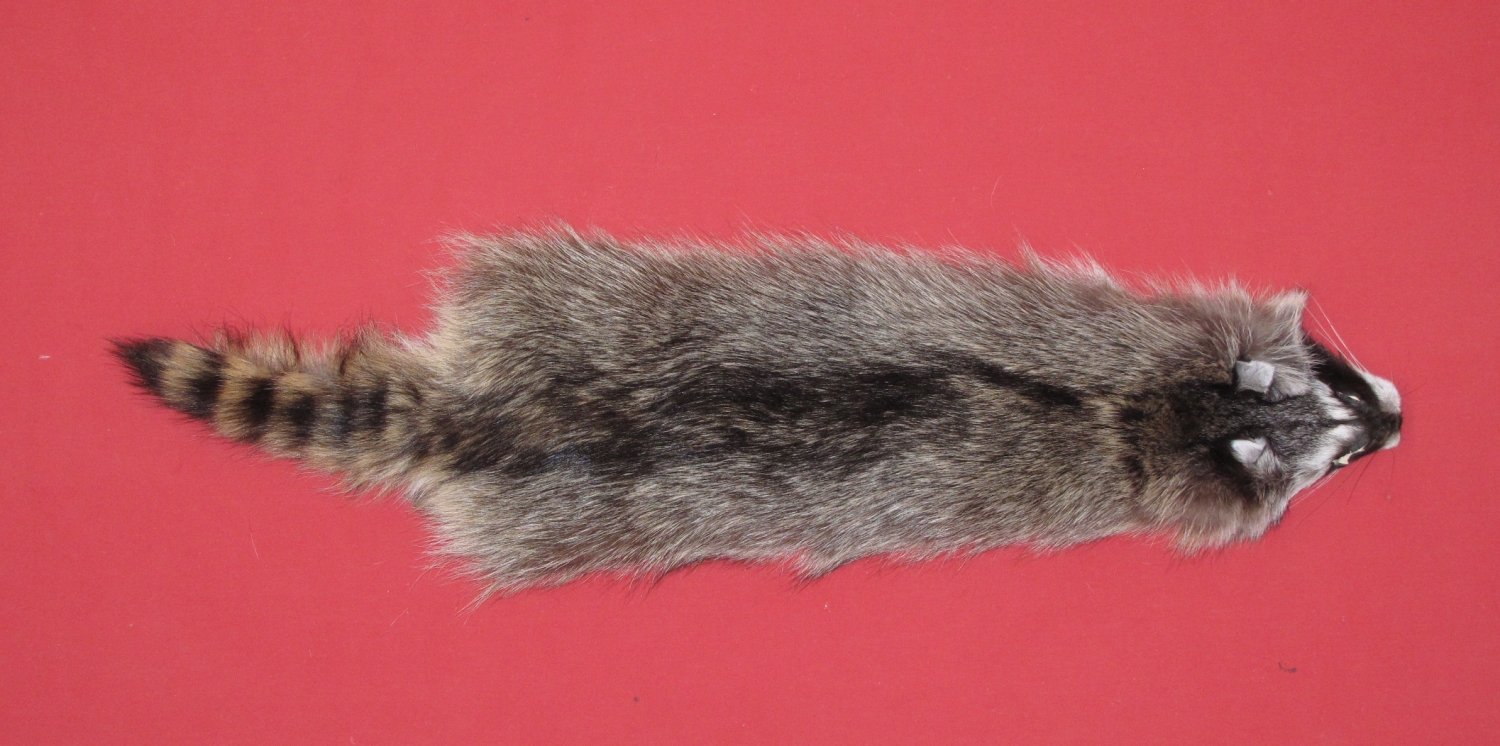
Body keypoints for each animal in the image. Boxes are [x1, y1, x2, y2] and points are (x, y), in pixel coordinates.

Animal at [113, 227, 1402, 591]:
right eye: (1342, 453)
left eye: (1339, 385)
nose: (1396, 417)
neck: (1157, 408)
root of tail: (478, 415)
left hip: (555, 304)